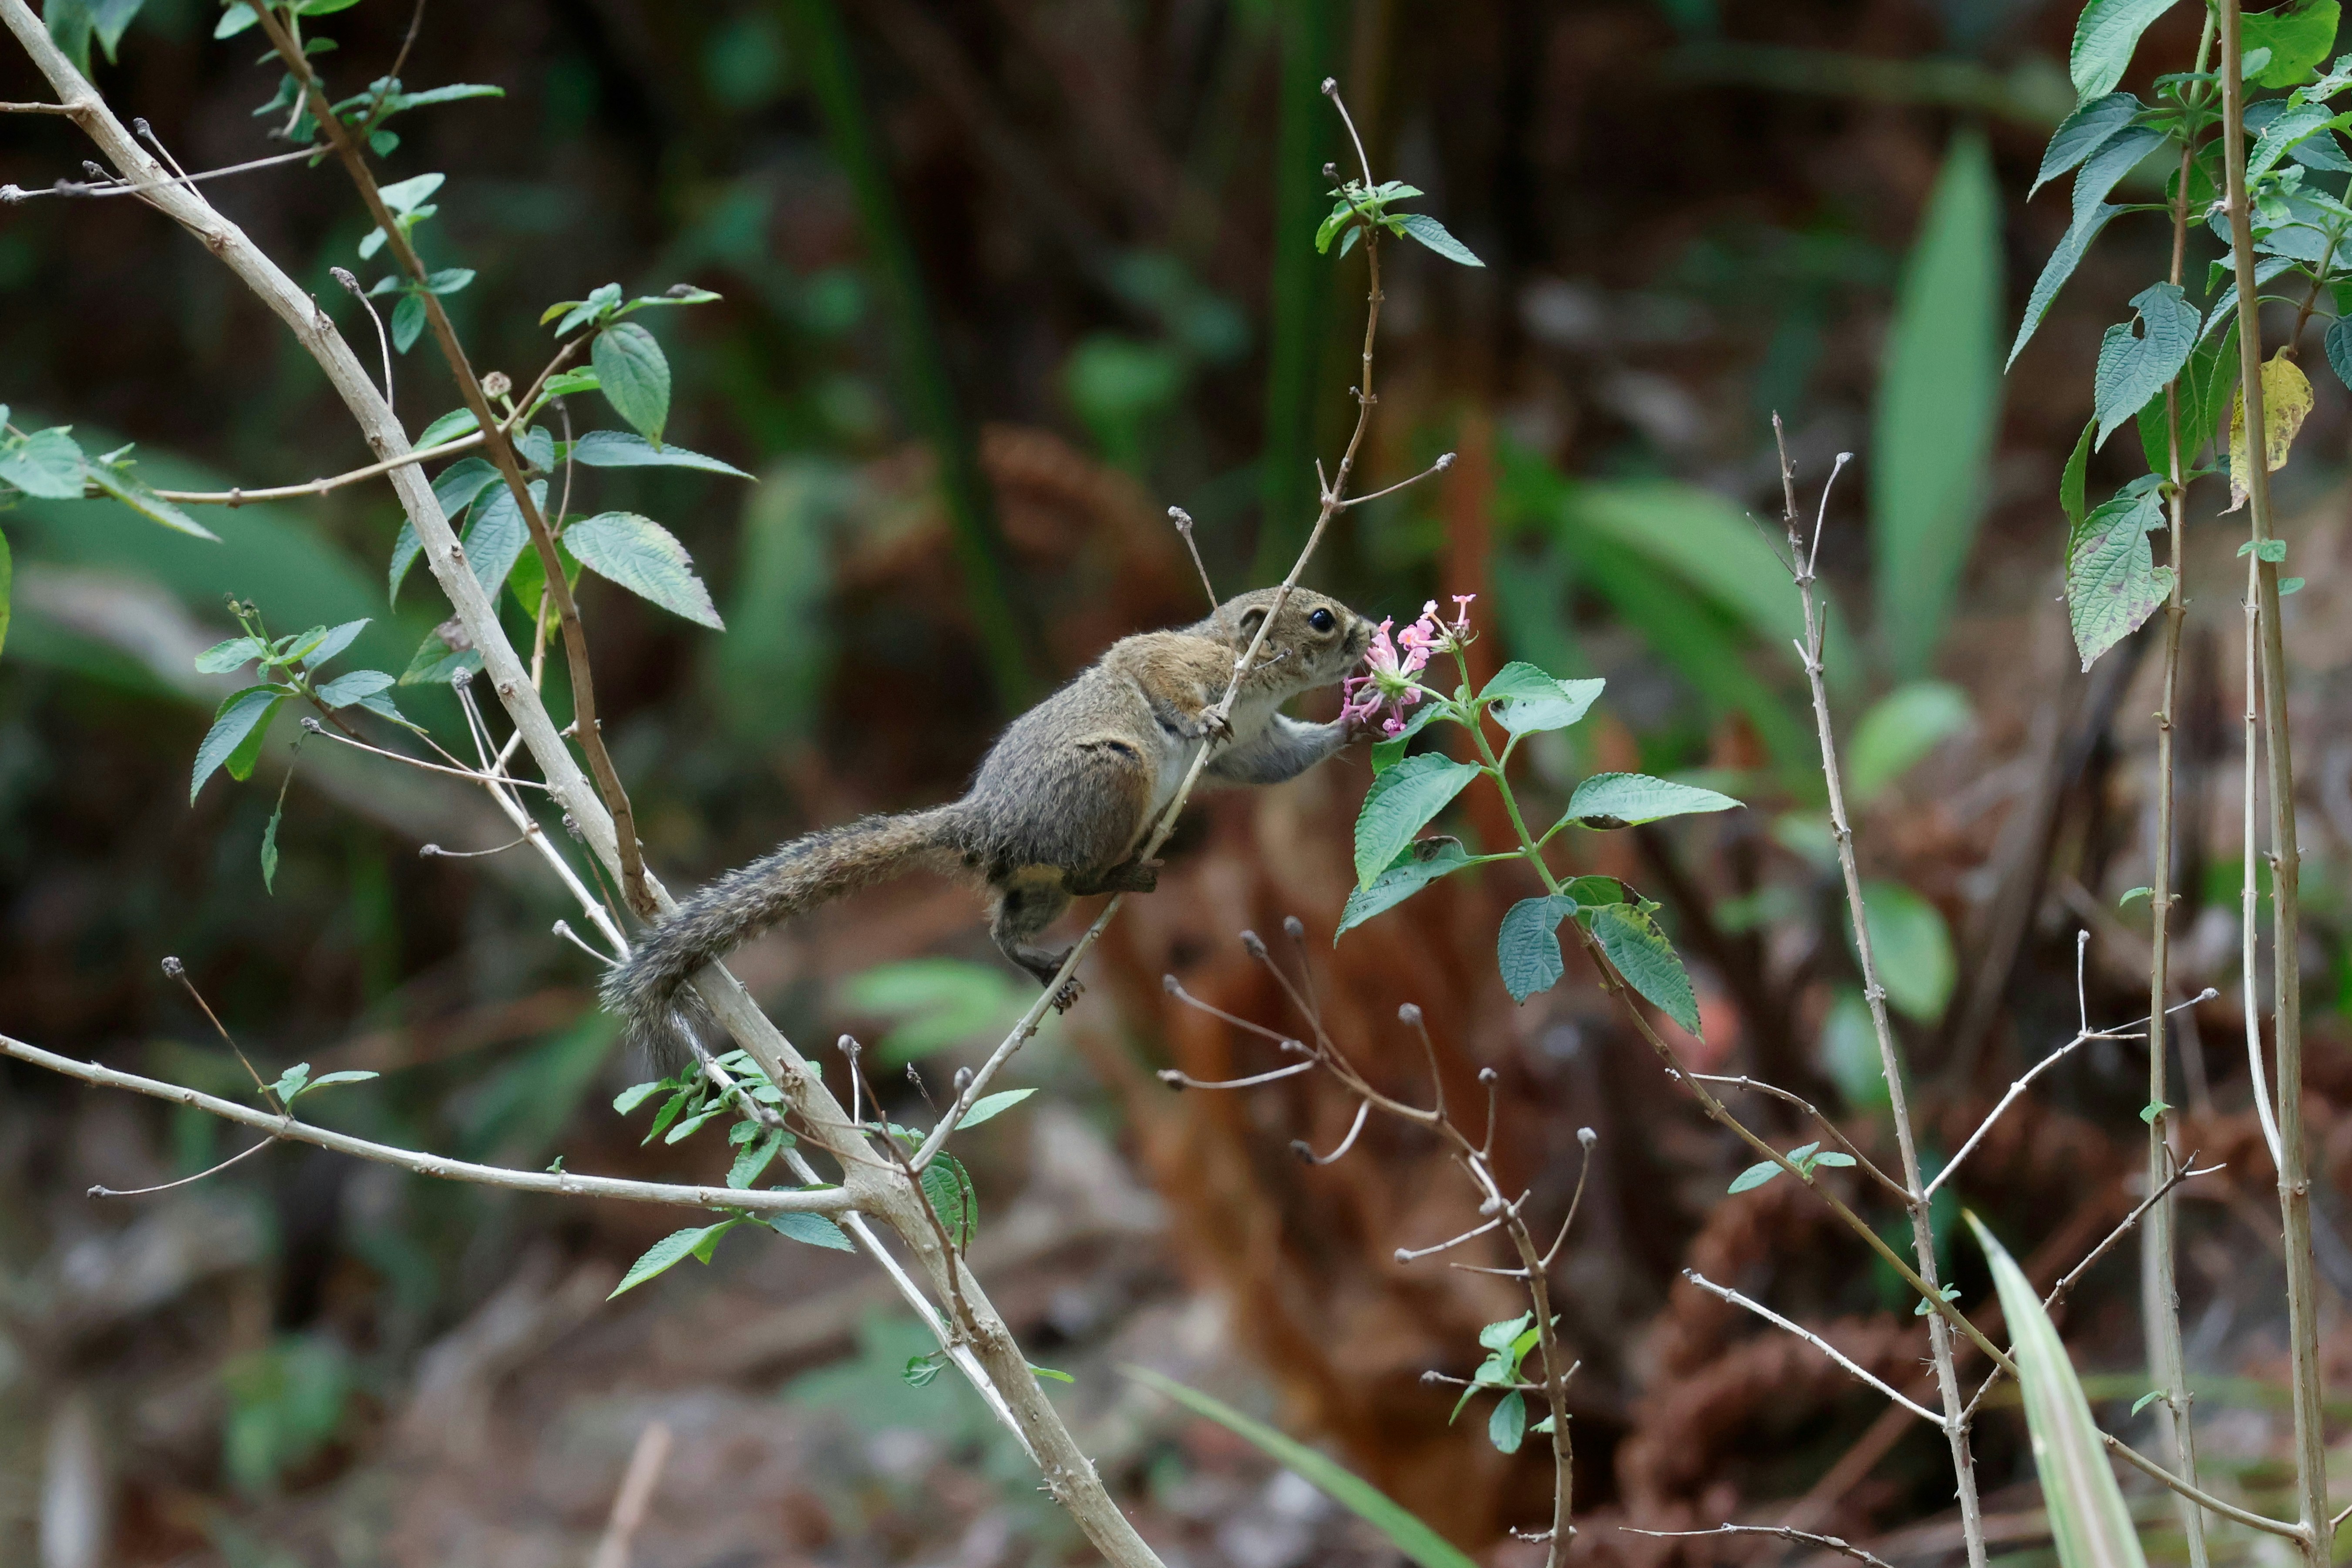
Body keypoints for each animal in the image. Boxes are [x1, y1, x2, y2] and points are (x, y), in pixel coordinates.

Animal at [603, 586, 1375, 1067]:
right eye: (1319, 619)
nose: (1370, 634)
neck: (1255, 675)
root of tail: (981, 822)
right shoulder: (1177, 661)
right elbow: (1150, 671)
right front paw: (1199, 719)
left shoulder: (1255, 747)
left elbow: (1277, 763)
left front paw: (1353, 725)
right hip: (1108, 780)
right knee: (1084, 878)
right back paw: (1126, 875)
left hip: (1038, 883)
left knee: (1005, 927)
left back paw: (1040, 963)